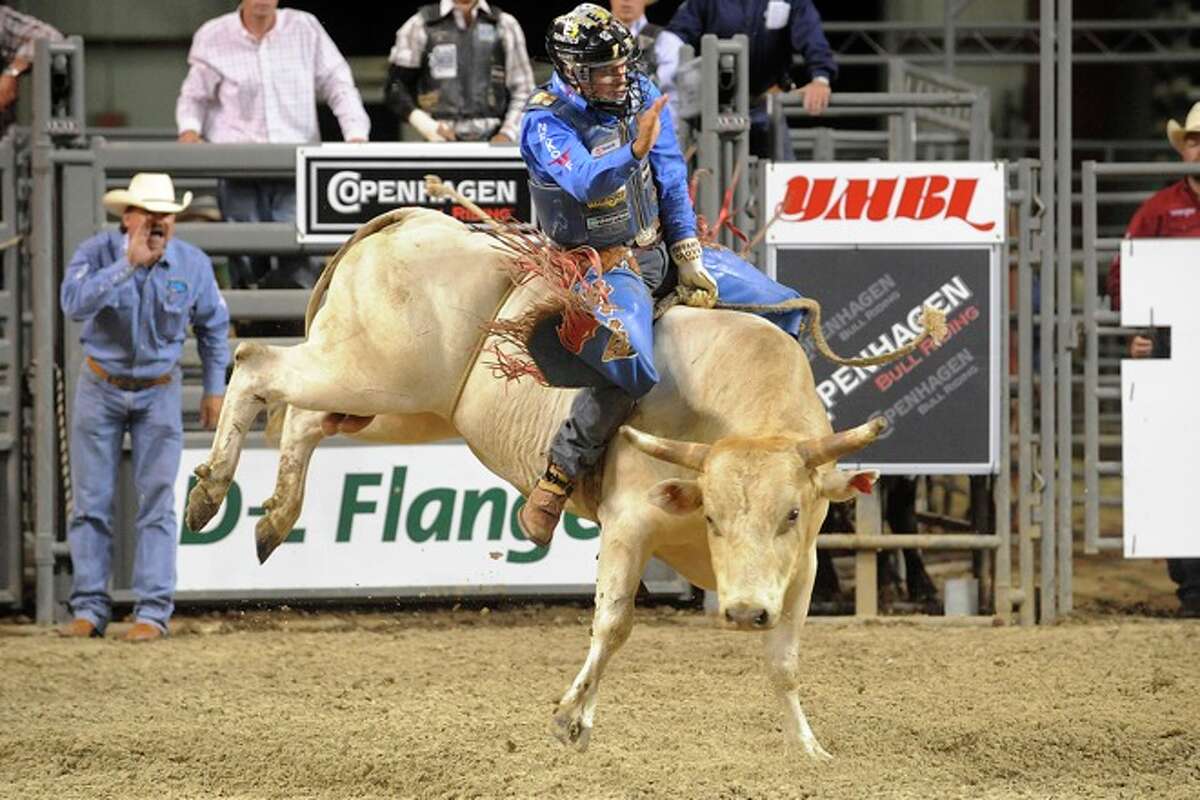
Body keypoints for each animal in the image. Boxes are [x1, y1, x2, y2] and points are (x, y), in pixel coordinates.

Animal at [185, 207, 886, 759]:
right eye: (711, 515)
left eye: (790, 514)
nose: (742, 612)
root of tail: (418, 220)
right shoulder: (630, 522)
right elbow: (614, 622)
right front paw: (571, 719)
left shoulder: (802, 564)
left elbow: (783, 659)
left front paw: (806, 746)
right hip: (363, 372)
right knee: (255, 365)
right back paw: (210, 491)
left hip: (394, 404)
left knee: (303, 418)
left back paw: (275, 516)